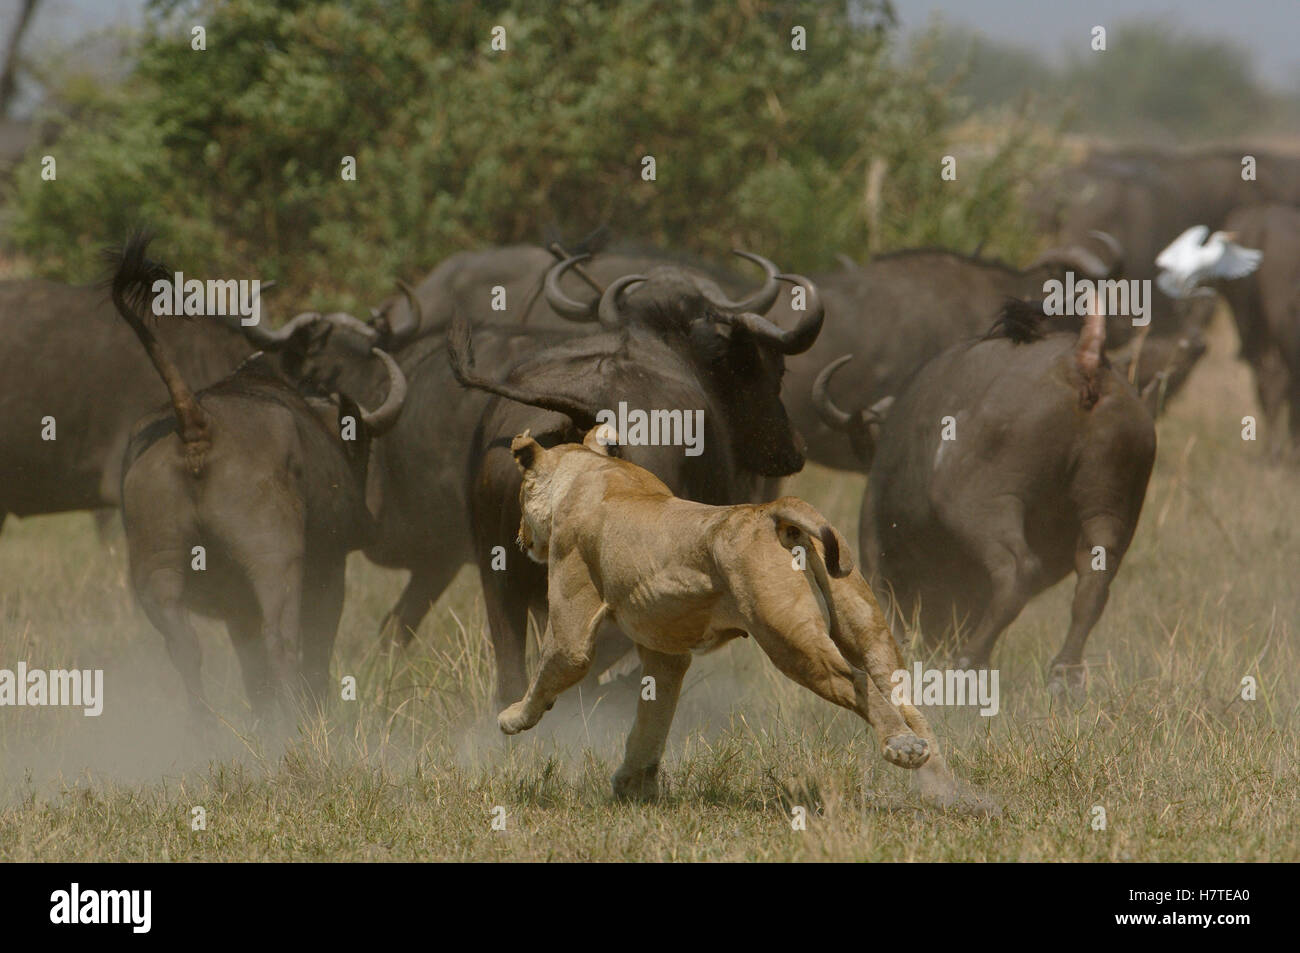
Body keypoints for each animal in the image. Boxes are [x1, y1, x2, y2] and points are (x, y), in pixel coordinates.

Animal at [501, 426, 998, 814]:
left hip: (790, 642)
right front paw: (633, 786)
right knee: (908, 703)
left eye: (520, 494)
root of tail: (773, 515)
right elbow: (651, 722)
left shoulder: (572, 623)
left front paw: (511, 719)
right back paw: (949, 792)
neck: (590, 471)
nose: (519, 535)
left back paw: (901, 748)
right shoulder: (667, 655)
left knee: (857, 682)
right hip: (870, 633)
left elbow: (553, 670)